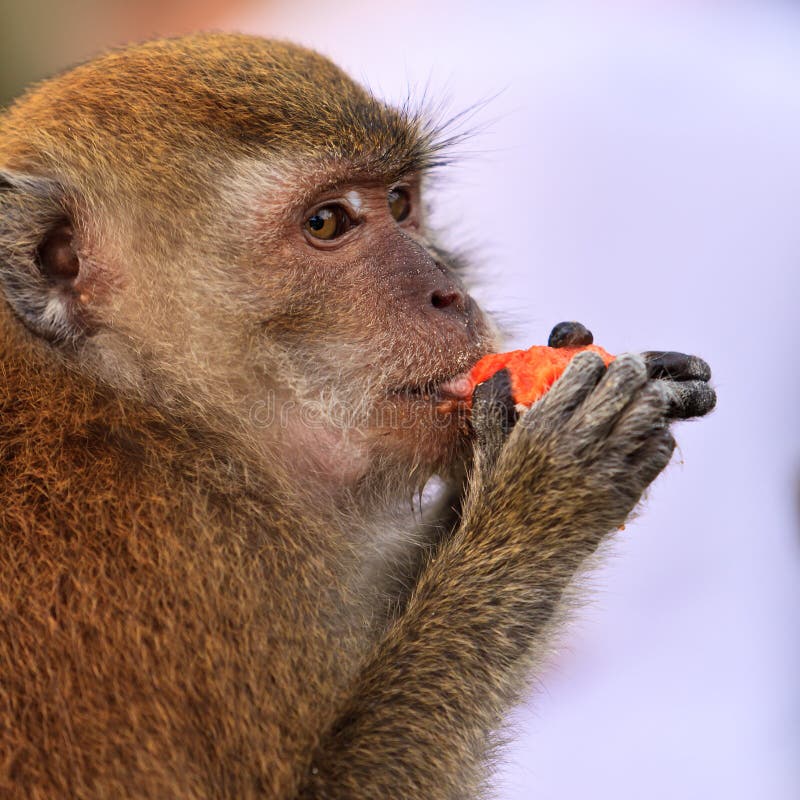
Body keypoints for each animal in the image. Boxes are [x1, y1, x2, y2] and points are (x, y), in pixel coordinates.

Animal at [0, 34, 715, 799]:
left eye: (400, 202)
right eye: (326, 223)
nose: (450, 292)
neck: (144, 411)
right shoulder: (186, 556)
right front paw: (543, 496)